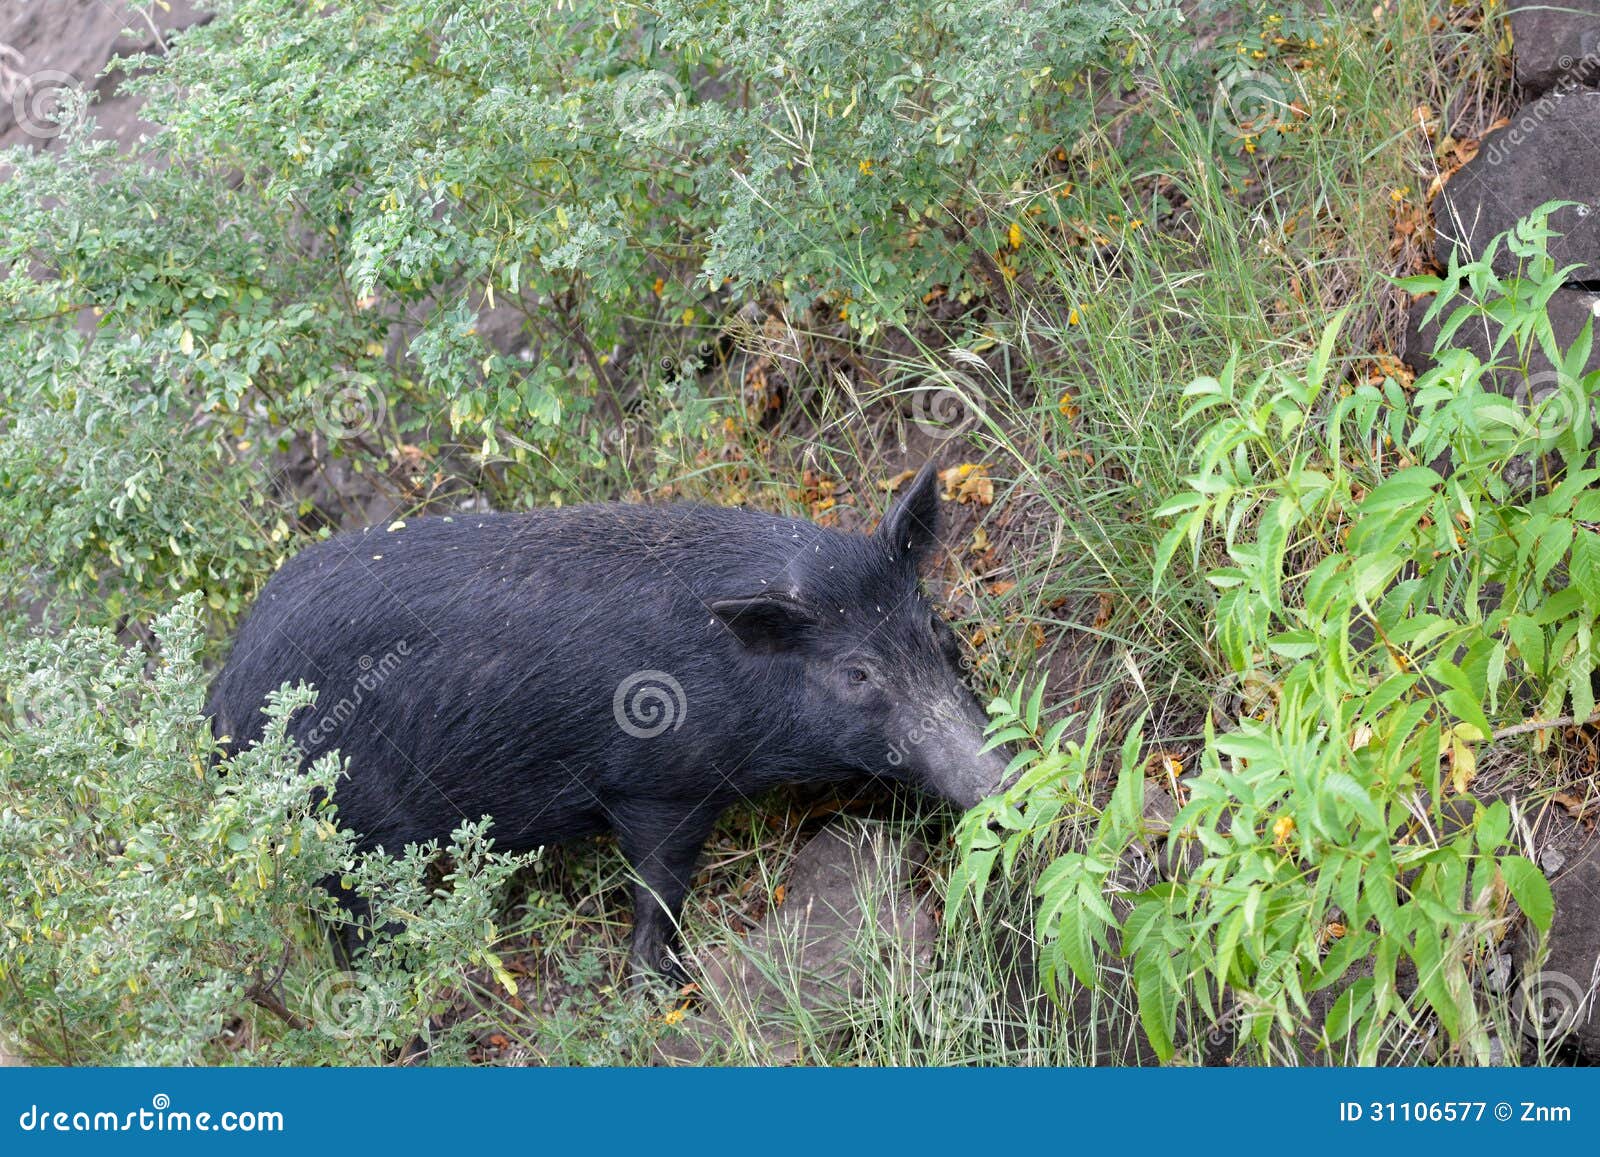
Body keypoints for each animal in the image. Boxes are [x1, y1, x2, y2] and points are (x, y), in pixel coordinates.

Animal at [207, 460, 1010, 980]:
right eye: (857, 674)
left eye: (936, 629)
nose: (1002, 782)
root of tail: (218, 709)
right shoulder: (656, 785)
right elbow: (657, 883)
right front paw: (662, 979)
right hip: (340, 838)